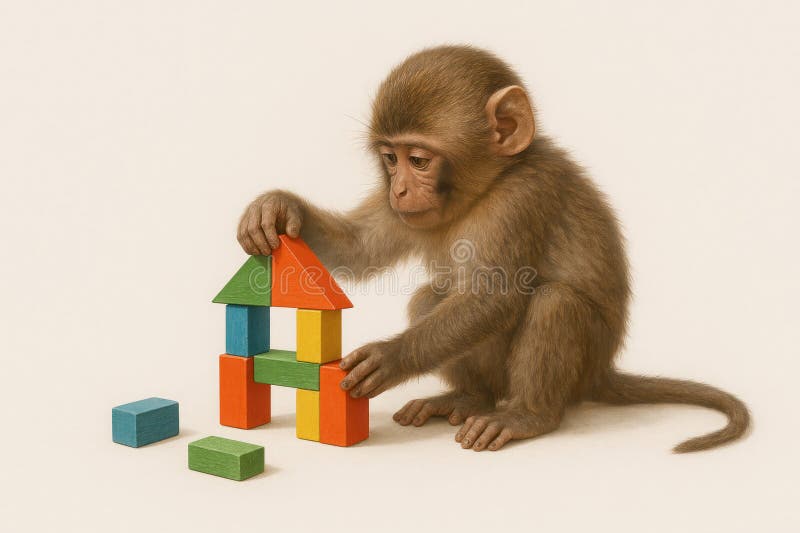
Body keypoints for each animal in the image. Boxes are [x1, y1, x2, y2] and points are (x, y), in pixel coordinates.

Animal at [237, 45, 750, 453]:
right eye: (389, 158)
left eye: (418, 160)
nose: (400, 190)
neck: (486, 188)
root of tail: (604, 372)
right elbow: (362, 249)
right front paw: (278, 208)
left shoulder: (519, 200)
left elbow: (495, 297)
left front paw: (391, 357)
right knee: (431, 296)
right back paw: (467, 398)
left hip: (581, 368)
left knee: (555, 303)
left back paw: (527, 415)